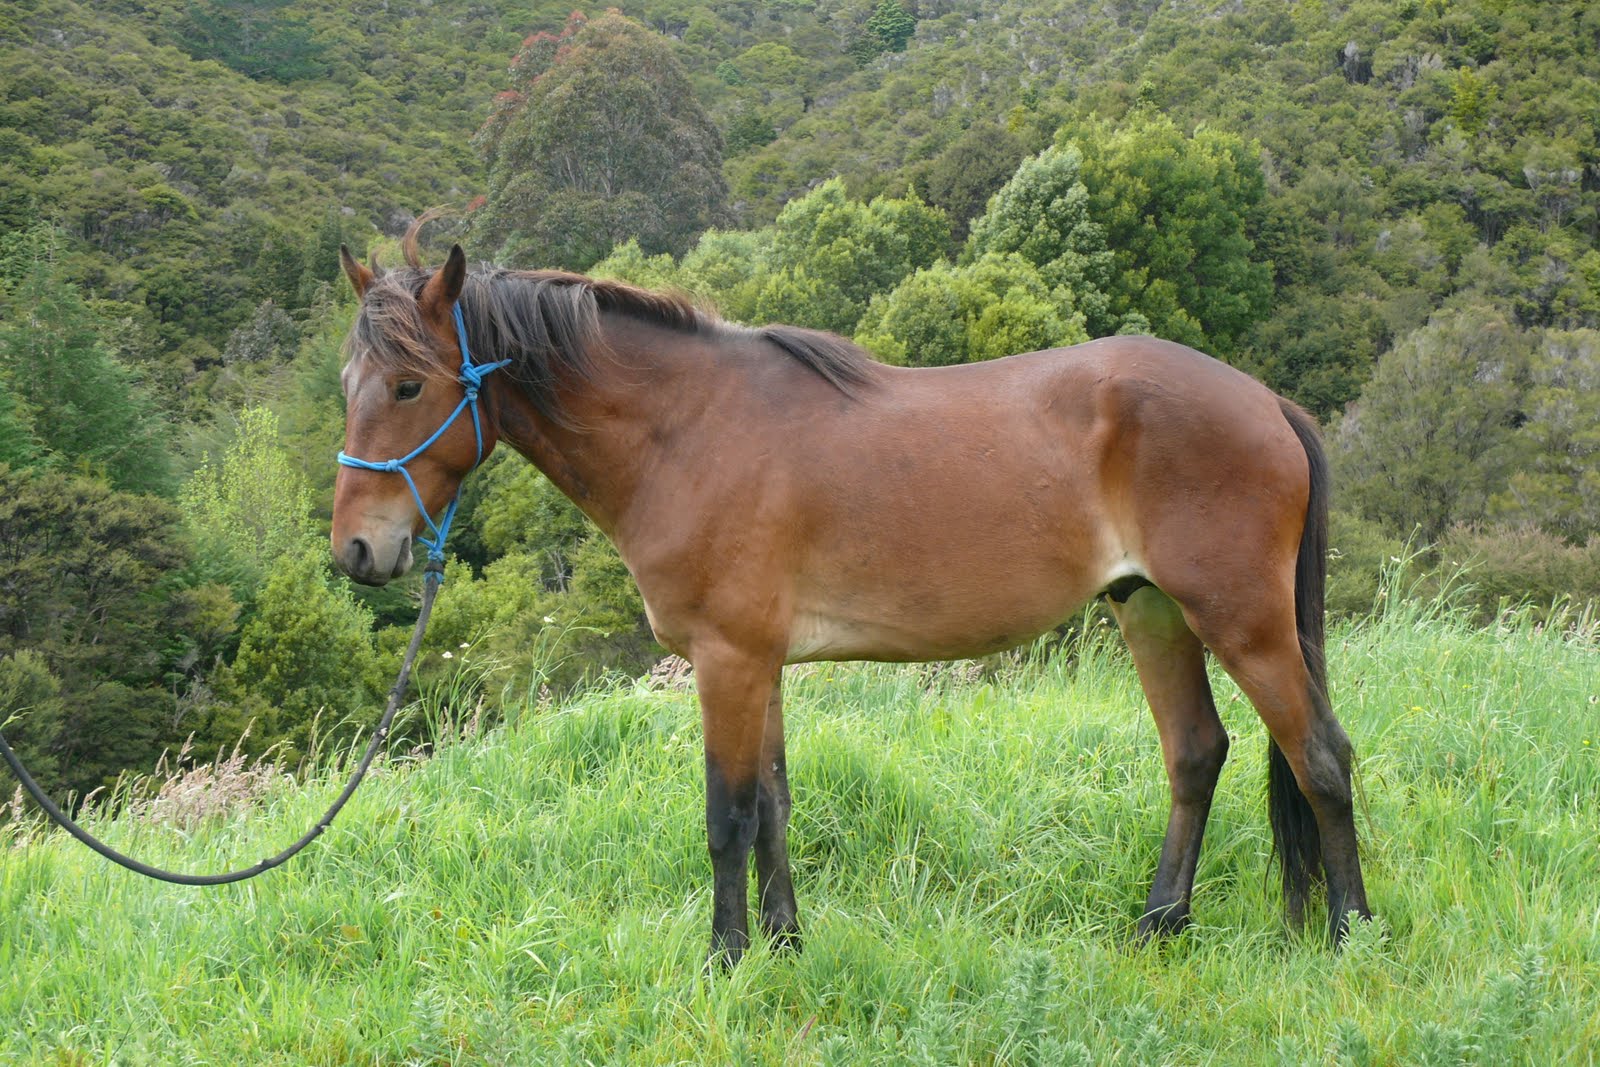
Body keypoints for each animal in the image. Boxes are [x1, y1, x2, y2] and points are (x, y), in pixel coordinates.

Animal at [331, 236, 1371, 966]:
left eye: (409, 384)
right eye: (347, 384)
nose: (356, 550)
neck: (688, 432)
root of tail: (1267, 403)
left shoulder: (728, 660)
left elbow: (726, 816)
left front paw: (725, 960)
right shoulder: (763, 664)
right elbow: (774, 808)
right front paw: (785, 948)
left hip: (1242, 619)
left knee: (1321, 756)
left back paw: (1351, 931)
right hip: (1148, 607)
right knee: (1197, 753)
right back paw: (1160, 926)